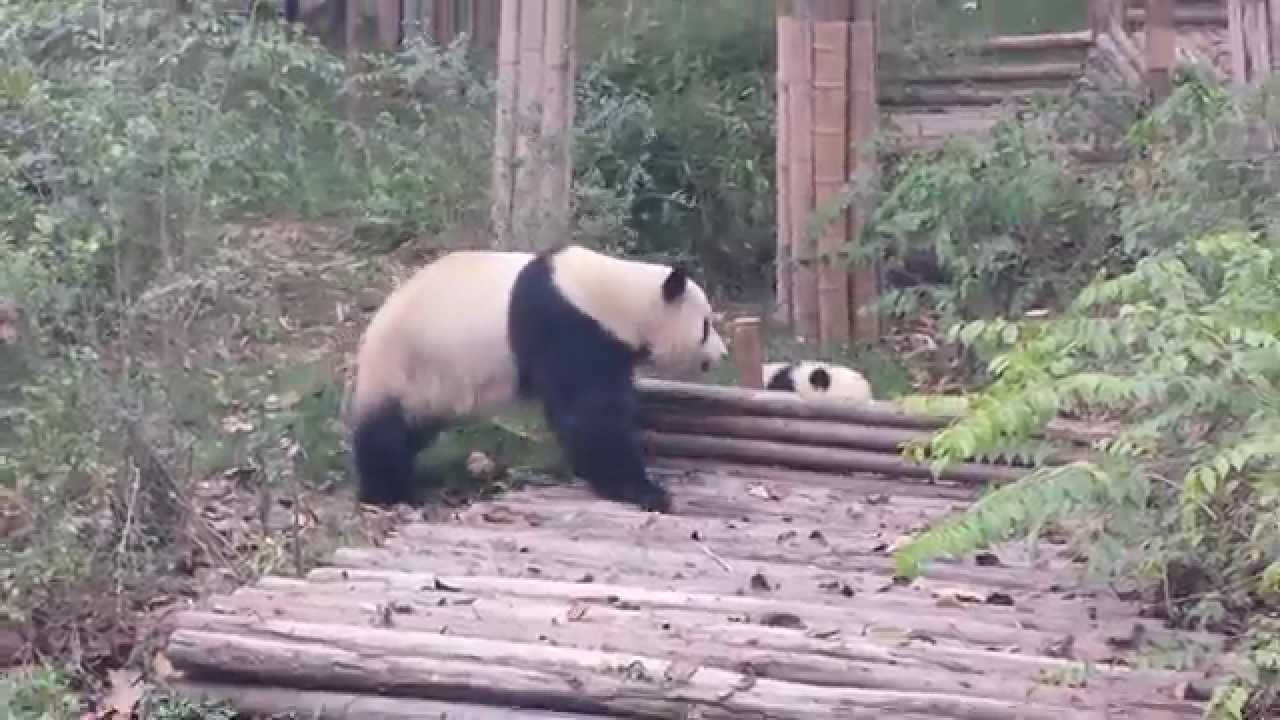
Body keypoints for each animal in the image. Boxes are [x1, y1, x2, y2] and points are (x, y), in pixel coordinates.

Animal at [347, 244, 728, 514]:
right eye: (706, 325)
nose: (722, 354)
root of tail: (368, 336)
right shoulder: (567, 326)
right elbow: (591, 415)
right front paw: (645, 491)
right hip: (406, 368)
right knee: (385, 434)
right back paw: (386, 493)